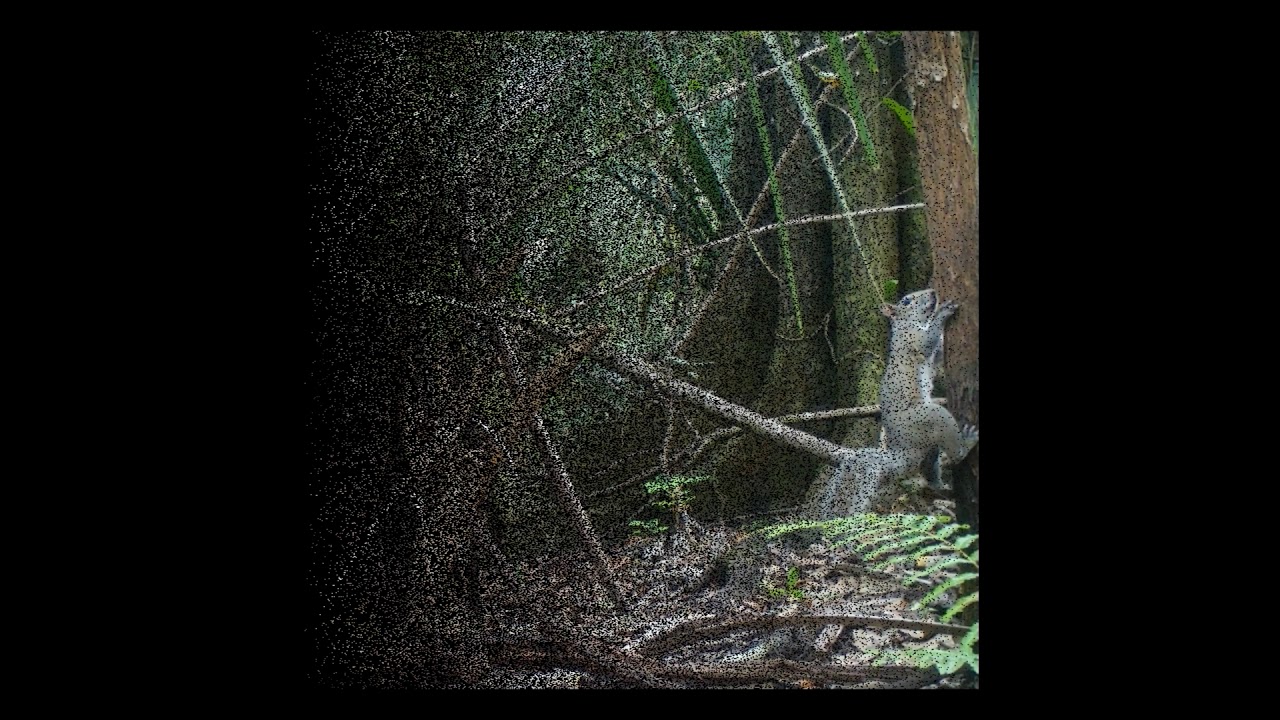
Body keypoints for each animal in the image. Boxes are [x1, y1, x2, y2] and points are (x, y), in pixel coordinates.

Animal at [809, 289, 978, 517]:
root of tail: (901, 452)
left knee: (930, 468)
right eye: (906, 301)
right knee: (955, 455)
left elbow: (938, 354)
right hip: (927, 418)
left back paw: (939, 486)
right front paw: (943, 312)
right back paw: (966, 444)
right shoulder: (911, 340)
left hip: (929, 448)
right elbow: (927, 341)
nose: (933, 292)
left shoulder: (931, 355)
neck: (911, 322)